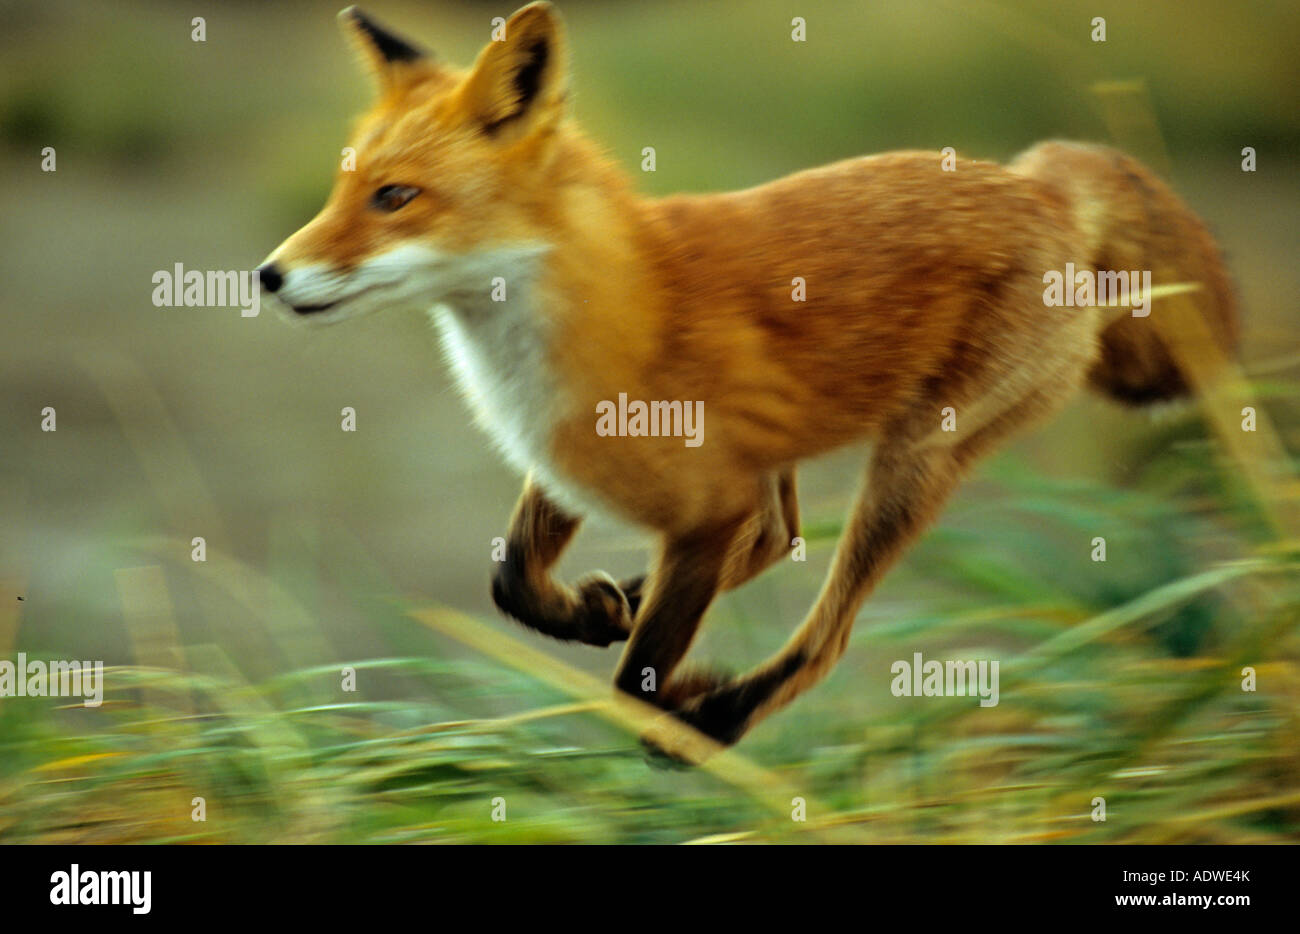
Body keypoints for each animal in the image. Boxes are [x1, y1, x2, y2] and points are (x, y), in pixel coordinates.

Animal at [259, 3, 1238, 754]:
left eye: (395, 197)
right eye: (341, 192)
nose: (268, 275)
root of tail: (1044, 187)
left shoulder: (706, 508)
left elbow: (638, 680)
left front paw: (677, 693)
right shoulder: (582, 463)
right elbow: (513, 578)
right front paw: (591, 613)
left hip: (914, 460)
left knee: (826, 630)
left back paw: (721, 717)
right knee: (778, 538)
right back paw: (639, 617)